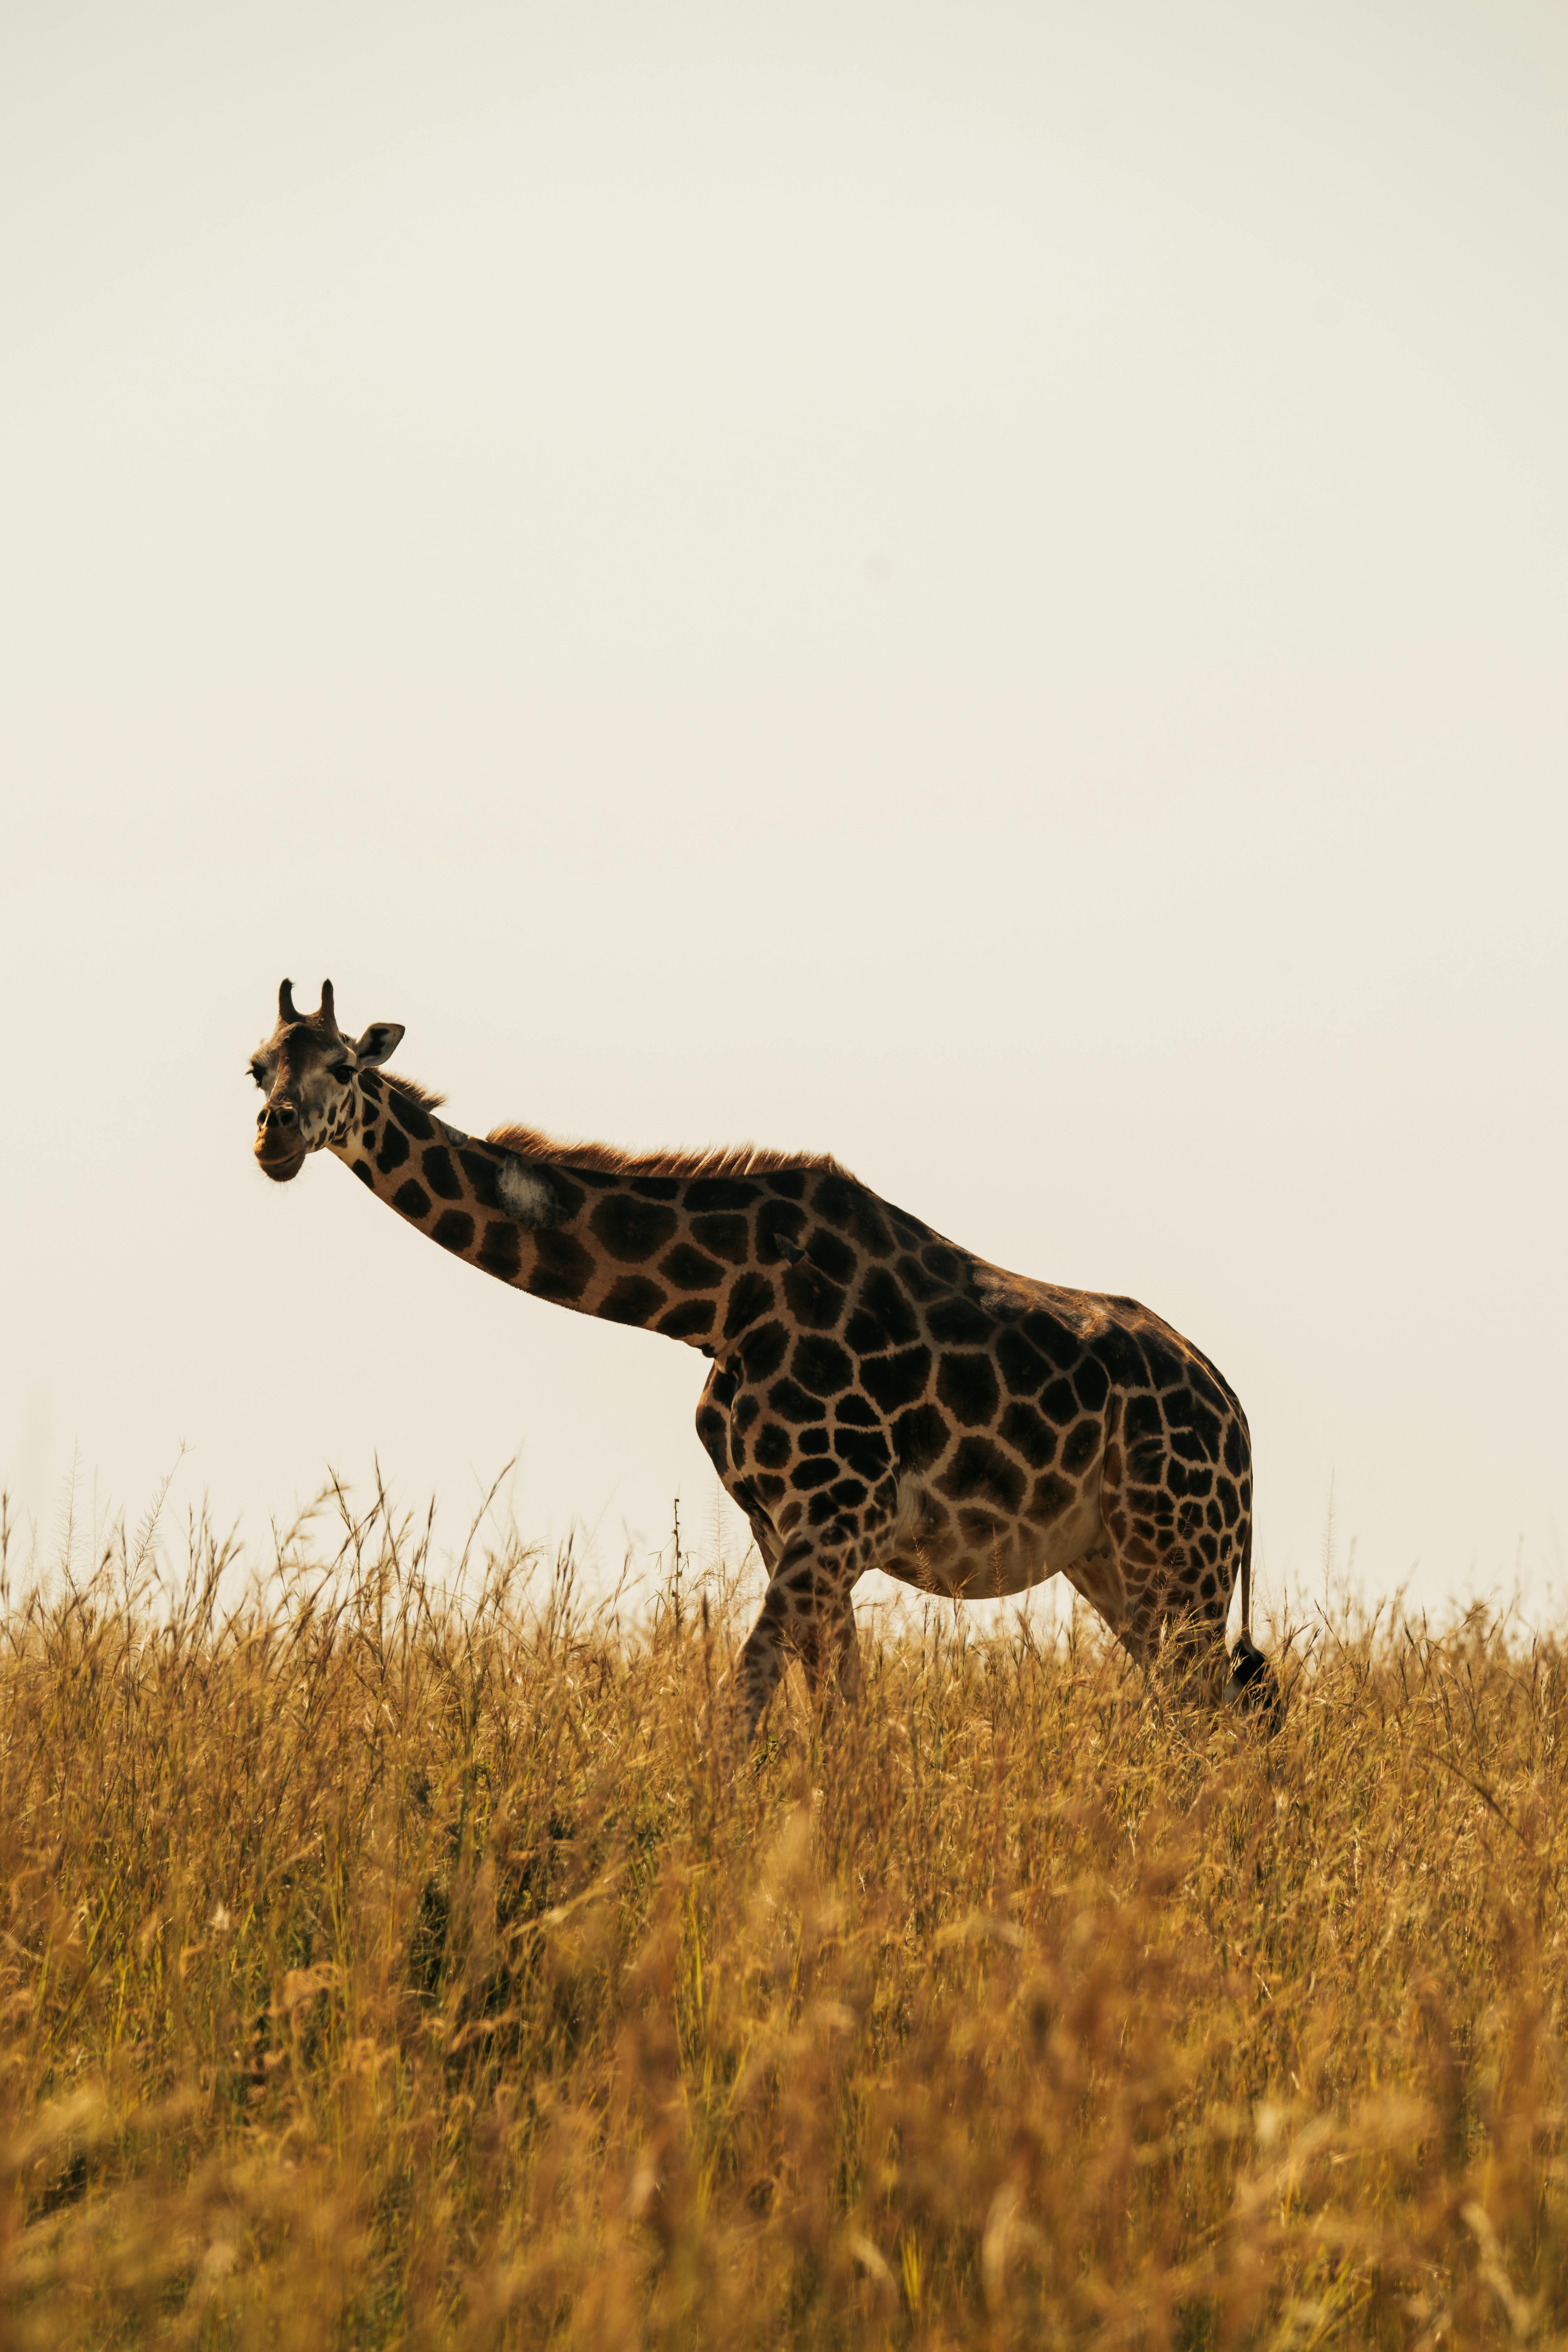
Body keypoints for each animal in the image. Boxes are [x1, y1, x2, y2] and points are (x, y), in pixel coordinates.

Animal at [250, 980, 1280, 1740]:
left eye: (345, 1065)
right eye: (257, 1065)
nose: (277, 1136)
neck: (717, 1304)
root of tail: (1235, 1416)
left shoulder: (835, 1522)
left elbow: (744, 1707)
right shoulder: (784, 1526)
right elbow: (837, 1716)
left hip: (1179, 1554)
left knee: (1217, 1720)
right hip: (1114, 1563)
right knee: (1217, 1710)